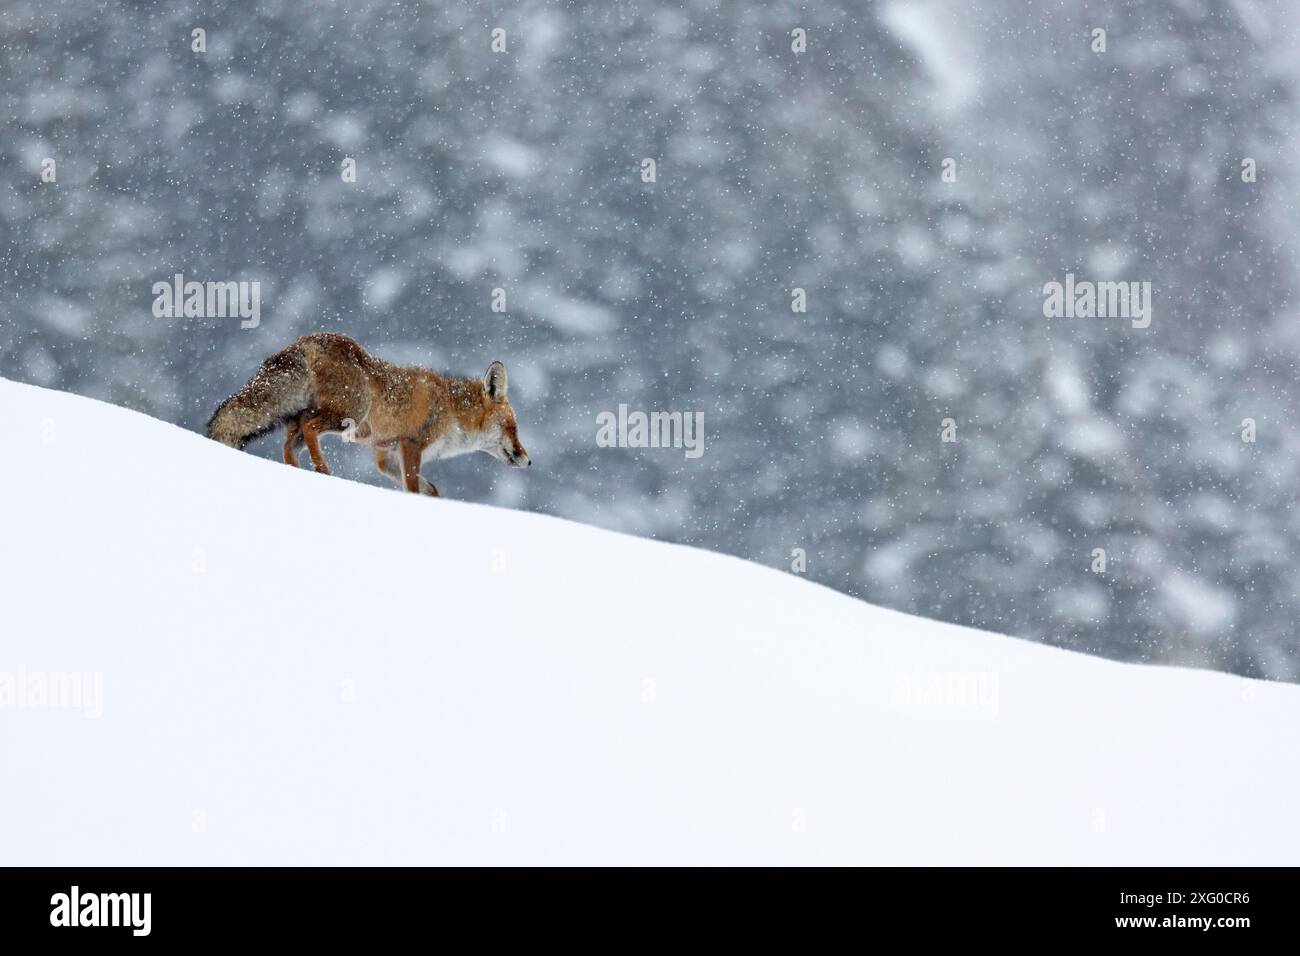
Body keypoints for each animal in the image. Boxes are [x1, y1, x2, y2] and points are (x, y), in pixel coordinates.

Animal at [207, 332, 531, 497]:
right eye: (513, 428)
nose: (529, 461)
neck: (450, 411)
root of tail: (308, 339)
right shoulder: (411, 445)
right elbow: (414, 487)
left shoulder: (386, 456)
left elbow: (429, 488)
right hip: (349, 413)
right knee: (311, 429)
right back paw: (323, 471)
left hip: (301, 419)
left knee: (289, 446)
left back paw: (300, 472)